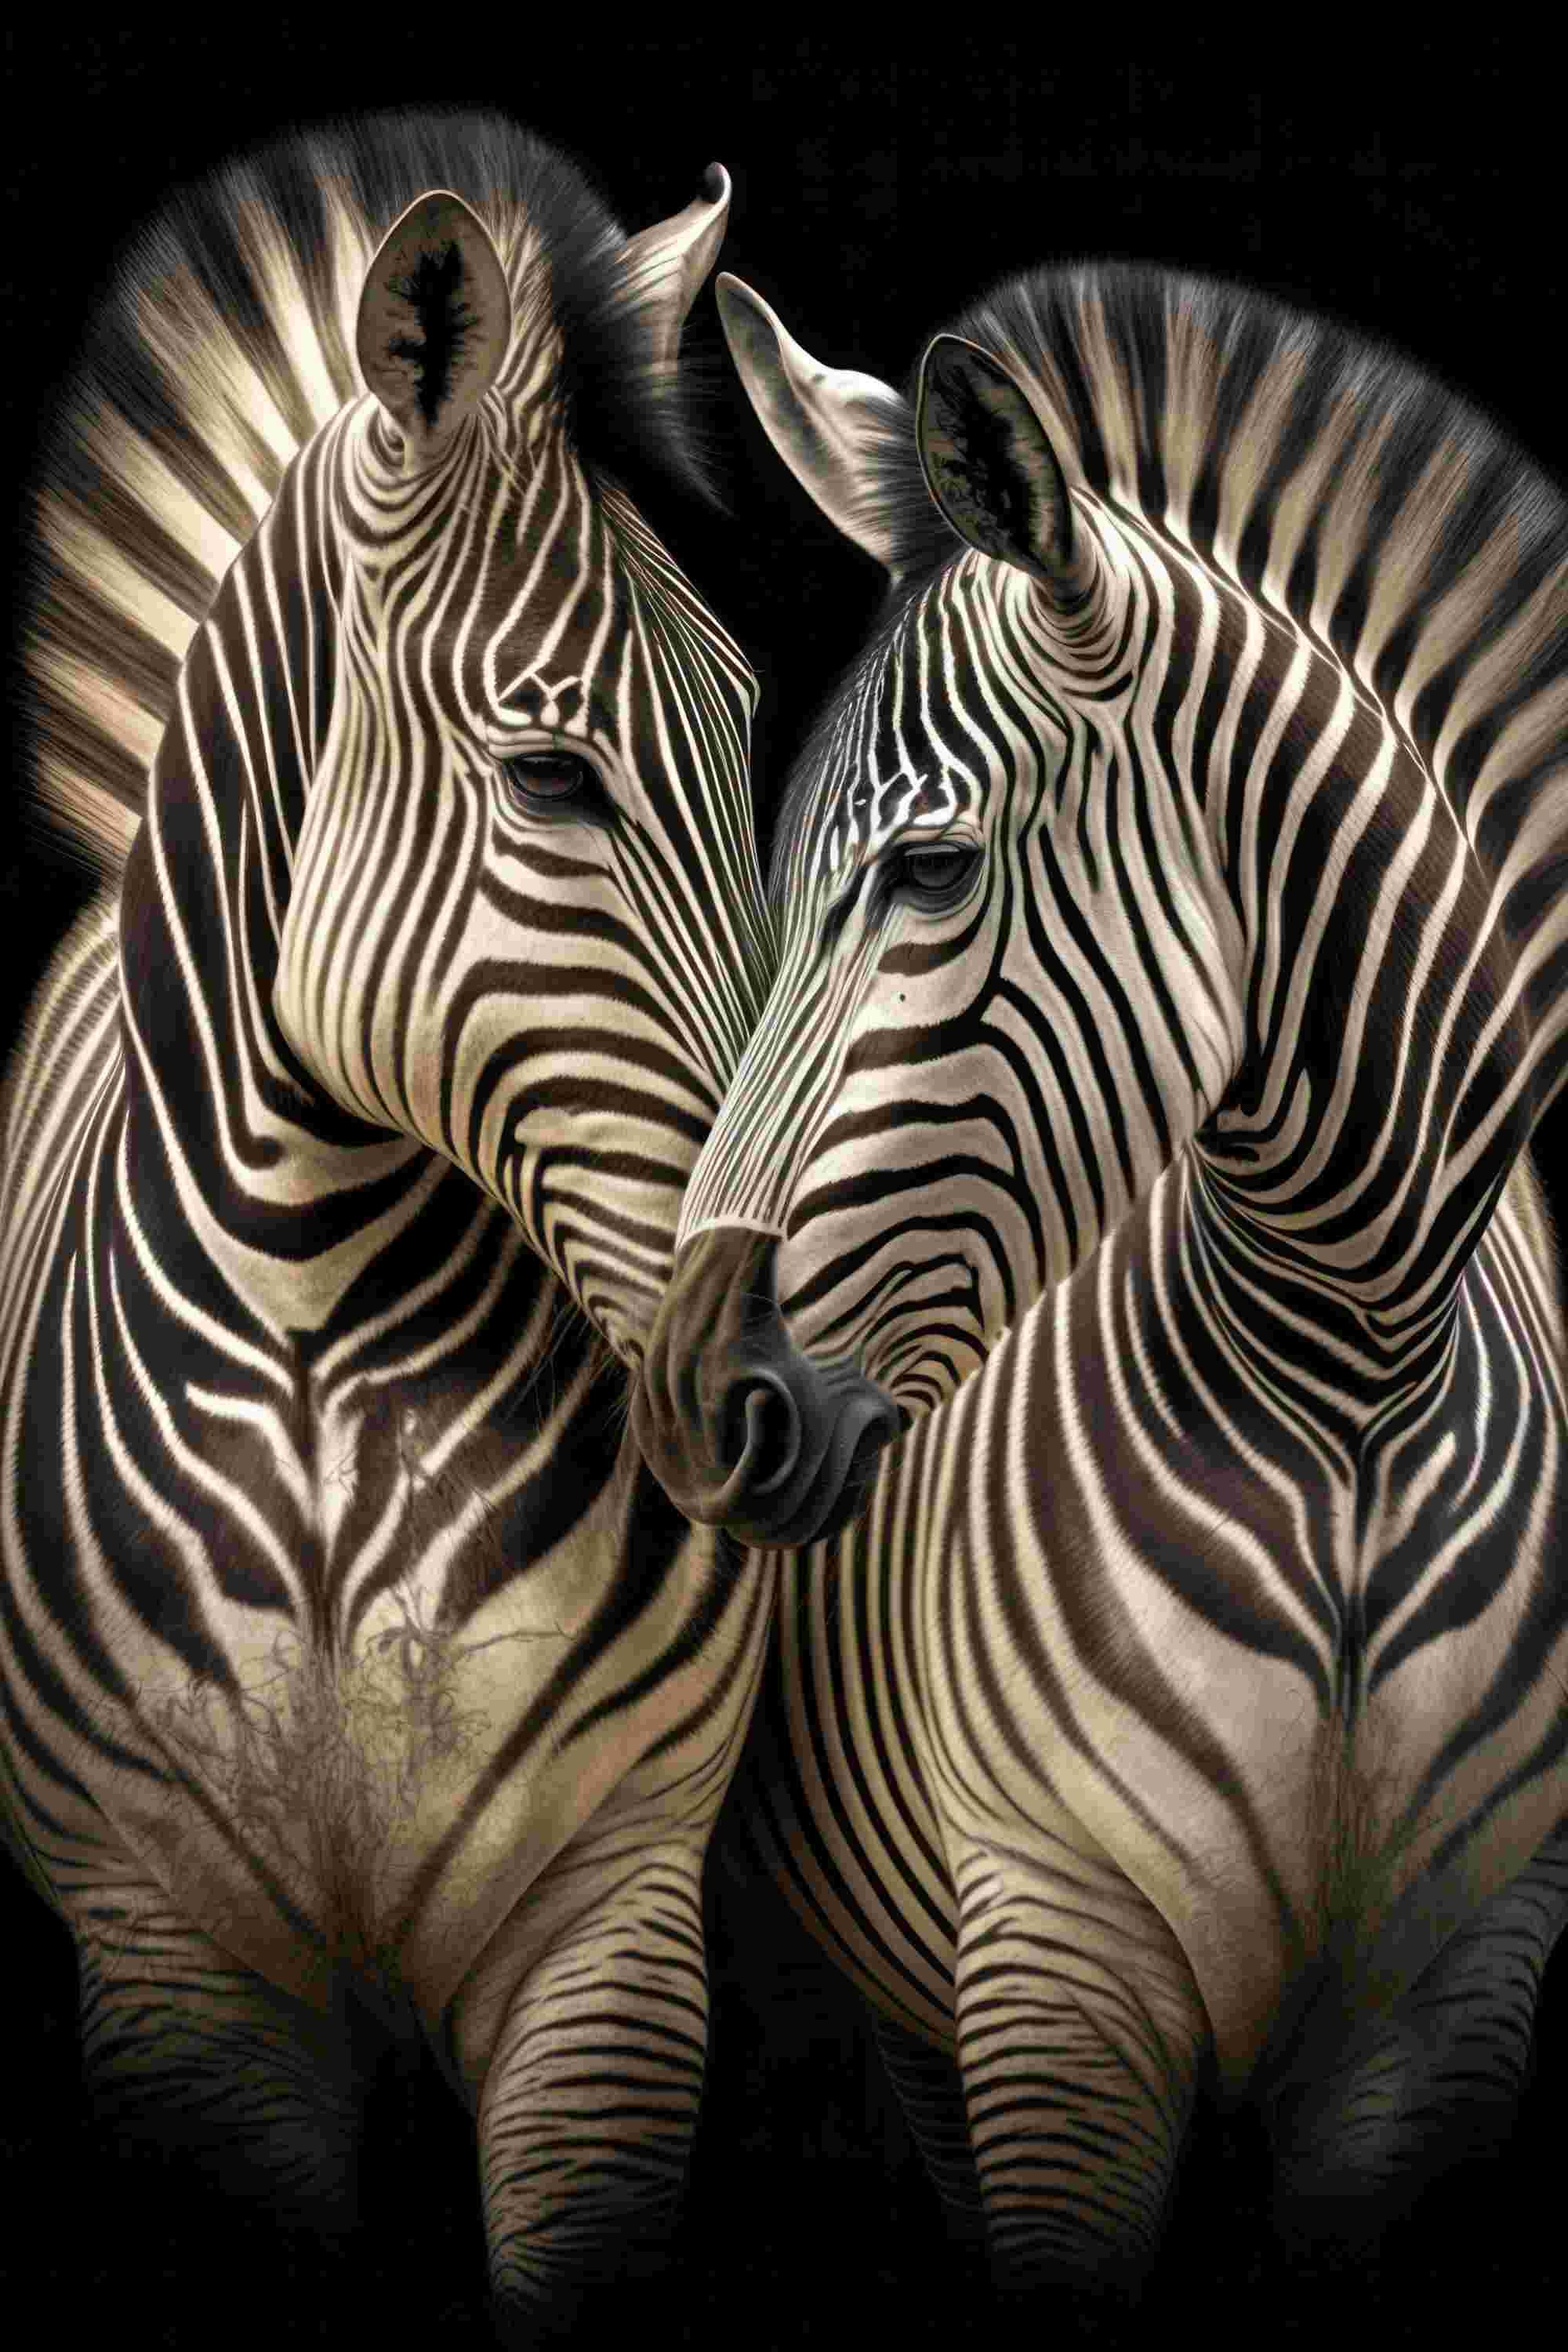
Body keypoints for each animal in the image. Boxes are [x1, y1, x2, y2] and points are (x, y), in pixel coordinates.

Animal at [2, 113, 777, 2340]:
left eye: (755, 722)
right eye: (551, 774)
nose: (787, 1386)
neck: (323, 1331)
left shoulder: (613, 1931)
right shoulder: (175, 1964)